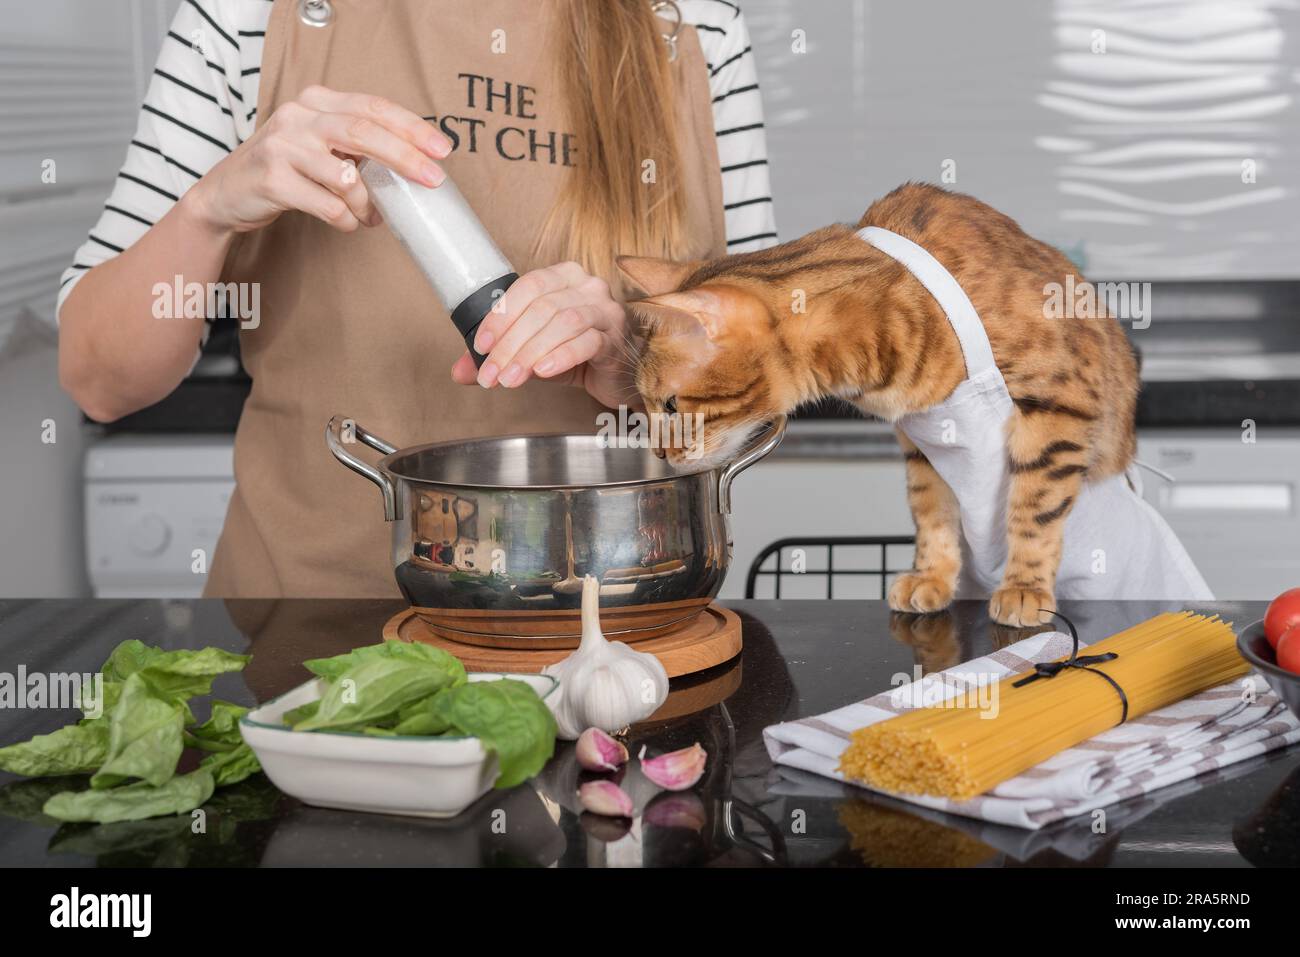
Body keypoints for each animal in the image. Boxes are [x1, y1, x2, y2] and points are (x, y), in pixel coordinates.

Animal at [618, 180, 1138, 629]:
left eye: (670, 405)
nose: (660, 453)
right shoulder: (924, 439)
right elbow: (931, 510)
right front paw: (931, 576)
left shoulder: (1060, 405)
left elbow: (1035, 508)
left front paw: (1025, 586)